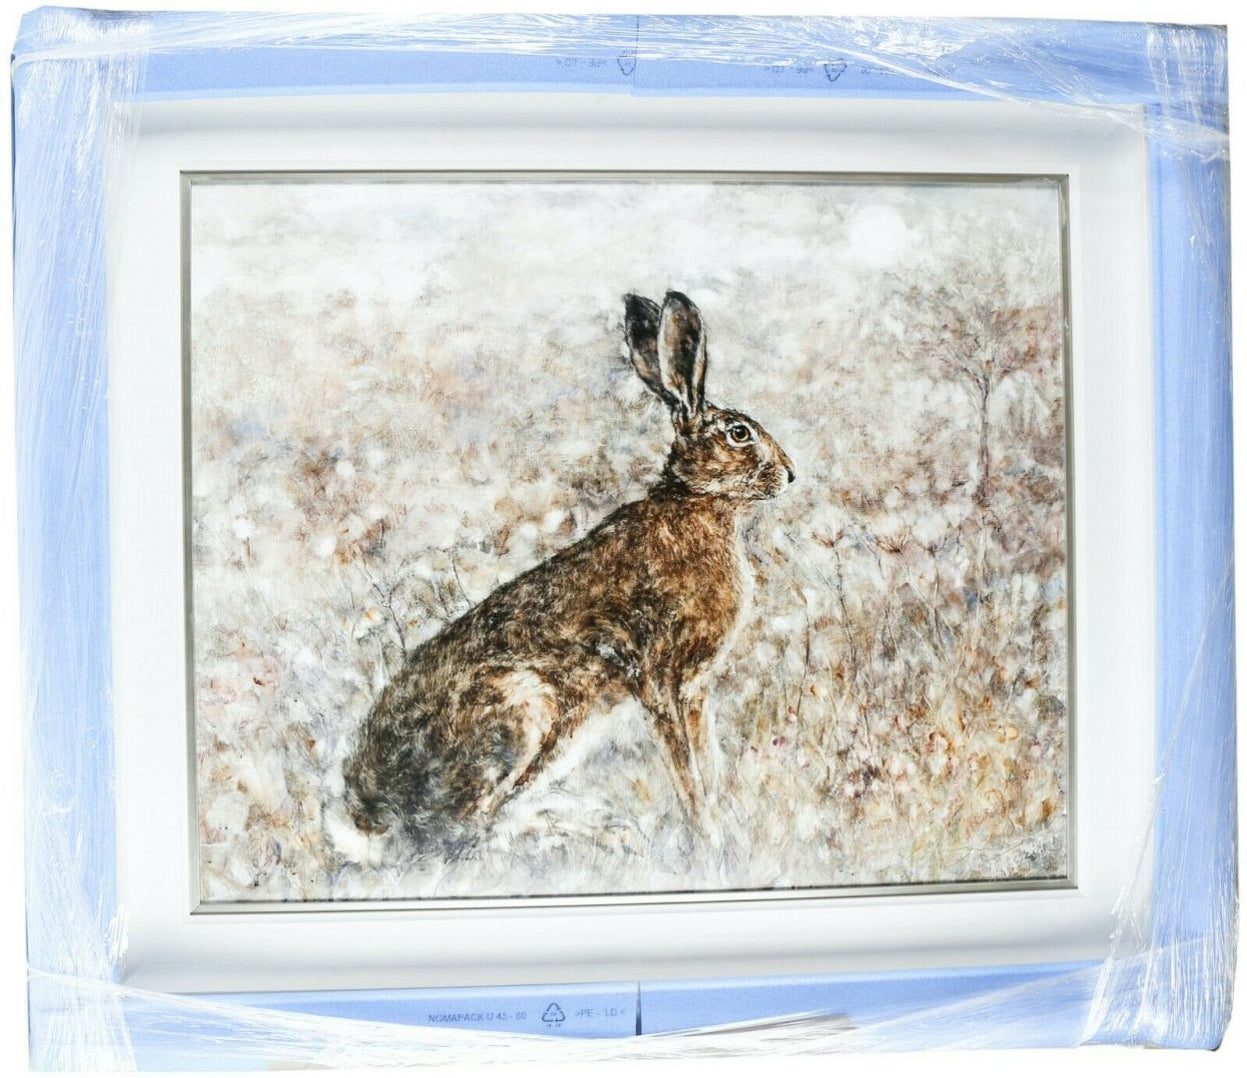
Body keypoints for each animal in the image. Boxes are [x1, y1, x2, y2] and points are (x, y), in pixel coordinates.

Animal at [343, 290, 795, 852]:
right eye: (739, 434)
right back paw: (589, 830)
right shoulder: (657, 677)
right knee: (463, 830)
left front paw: (727, 821)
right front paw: (708, 837)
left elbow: (708, 762)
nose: (792, 474)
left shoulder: (695, 690)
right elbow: (684, 767)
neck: (698, 504)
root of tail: (367, 806)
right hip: (524, 709)